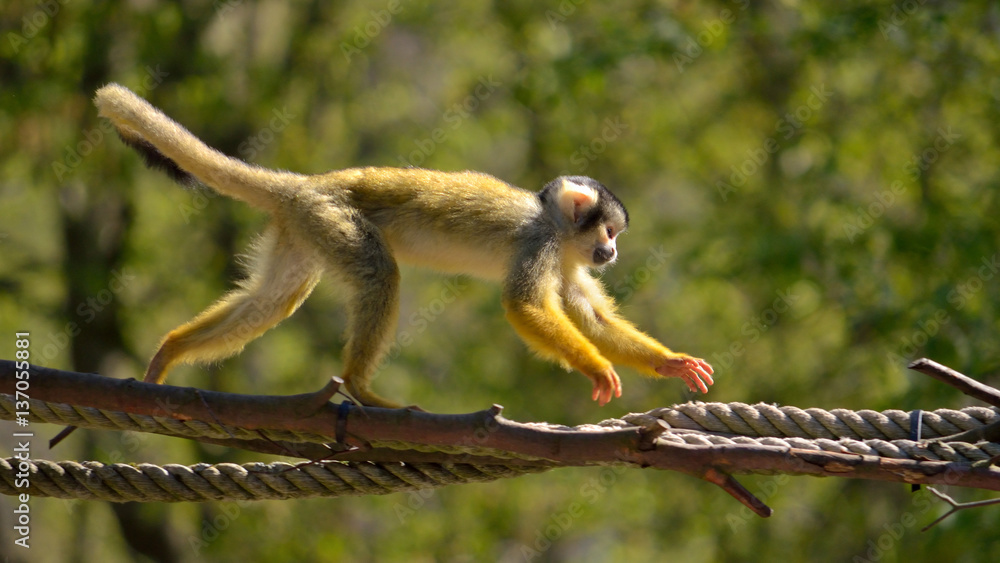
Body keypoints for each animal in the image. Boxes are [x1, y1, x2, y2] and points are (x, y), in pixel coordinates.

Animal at [94, 83, 714, 409]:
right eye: (608, 232)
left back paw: (172, 348)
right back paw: (362, 390)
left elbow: (587, 313)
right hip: (333, 218)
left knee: (273, 300)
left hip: (303, 229)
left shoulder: (565, 258)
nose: (612, 253)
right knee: (378, 274)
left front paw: (670, 363)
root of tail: (303, 184)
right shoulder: (539, 243)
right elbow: (524, 305)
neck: (557, 229)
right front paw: (597, 370)